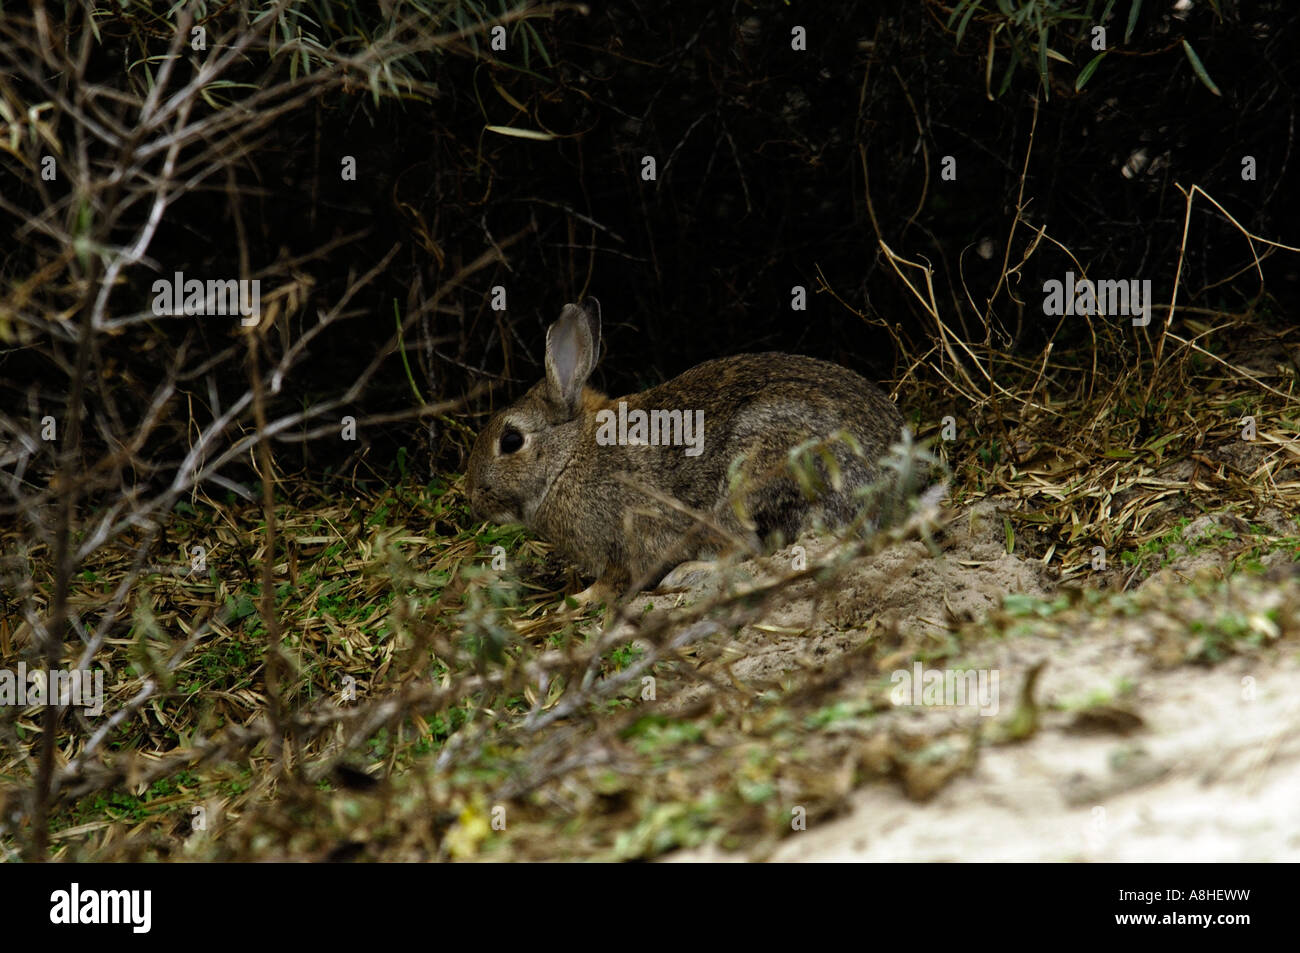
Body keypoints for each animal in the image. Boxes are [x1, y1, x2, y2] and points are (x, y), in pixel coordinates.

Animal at [465, 298, 907, 605]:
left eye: (511, 441)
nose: (472, 497)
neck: (570, 454)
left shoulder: (629, 537)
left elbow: (616, 579)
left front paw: (579, 600)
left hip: (754, 474)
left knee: (745, 547)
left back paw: (686, 574)